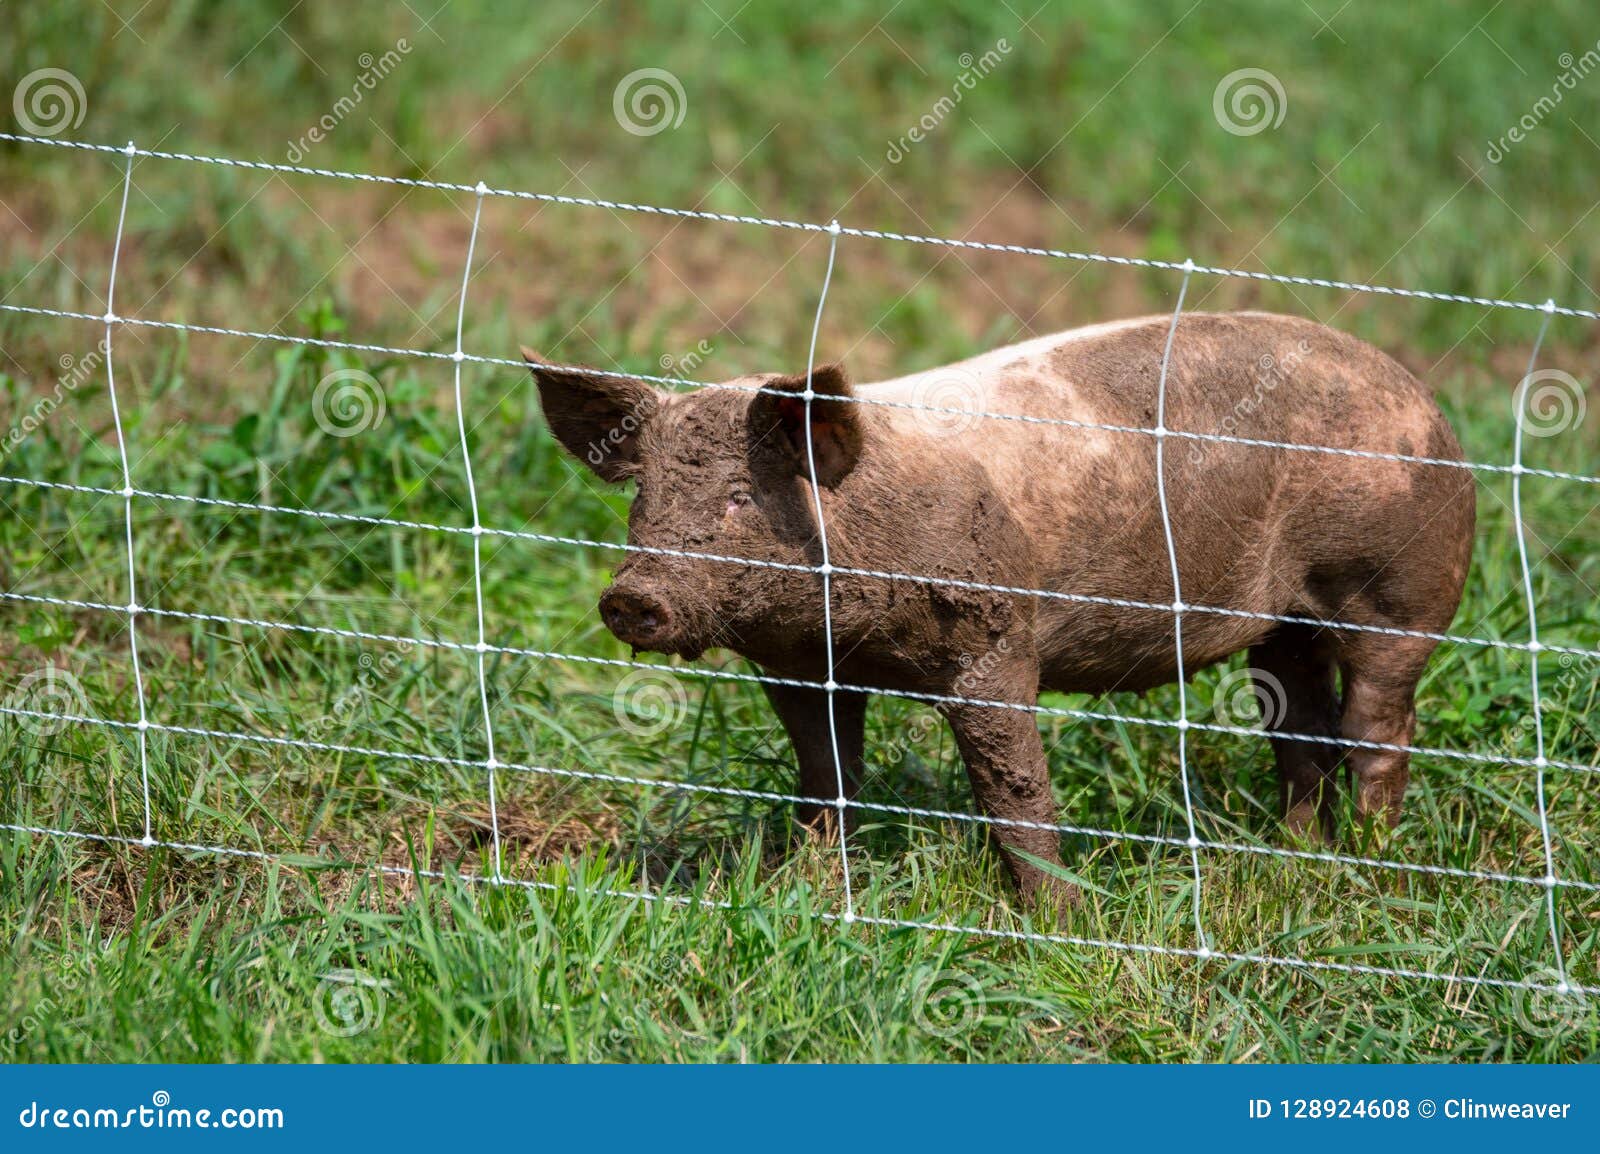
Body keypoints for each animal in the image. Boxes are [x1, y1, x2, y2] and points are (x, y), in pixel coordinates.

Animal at [522, 309, 1474, 909]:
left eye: (737, 499)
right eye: (642, 500)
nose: (632, 597)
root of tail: (1430, 405)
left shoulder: (994, 640)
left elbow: (1012, 789)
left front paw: (1057, 921)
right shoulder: (796, 668)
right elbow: (826, 775)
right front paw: (807, 887)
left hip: (1397, 591)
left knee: (1379, 726)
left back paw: (1371, 860)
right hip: (1284, 626)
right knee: (1299, 724)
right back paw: (1296, 852)